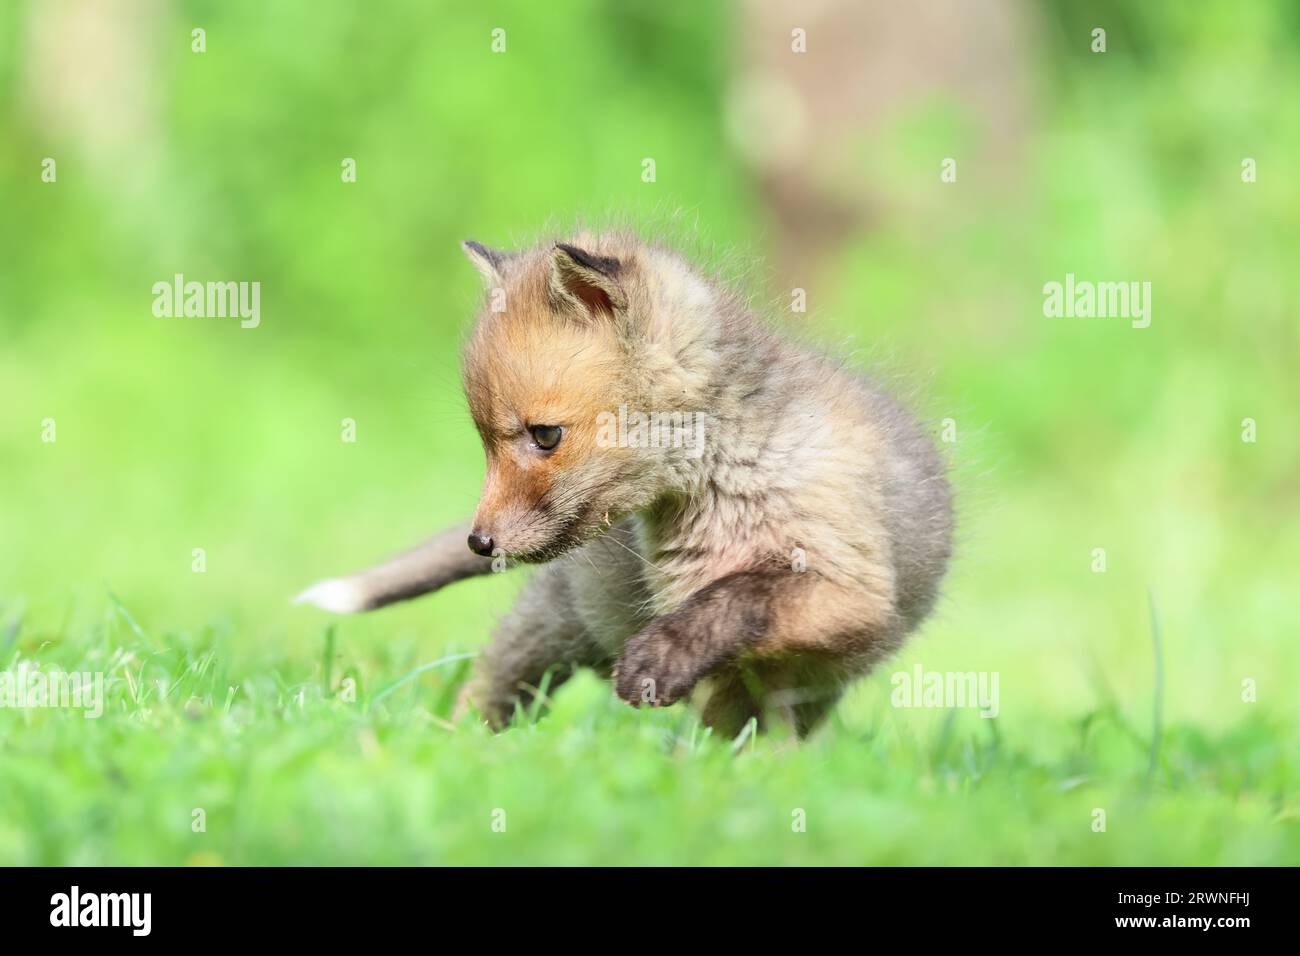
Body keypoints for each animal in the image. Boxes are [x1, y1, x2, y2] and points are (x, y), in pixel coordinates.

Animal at [297, 230, 953, 737]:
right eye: (485, 444)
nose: (479, 543)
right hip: (550, 630)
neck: (728, 477)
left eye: (545, 436)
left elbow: (741, 597)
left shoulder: (851, 592)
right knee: (485, 691)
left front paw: (660, 660)